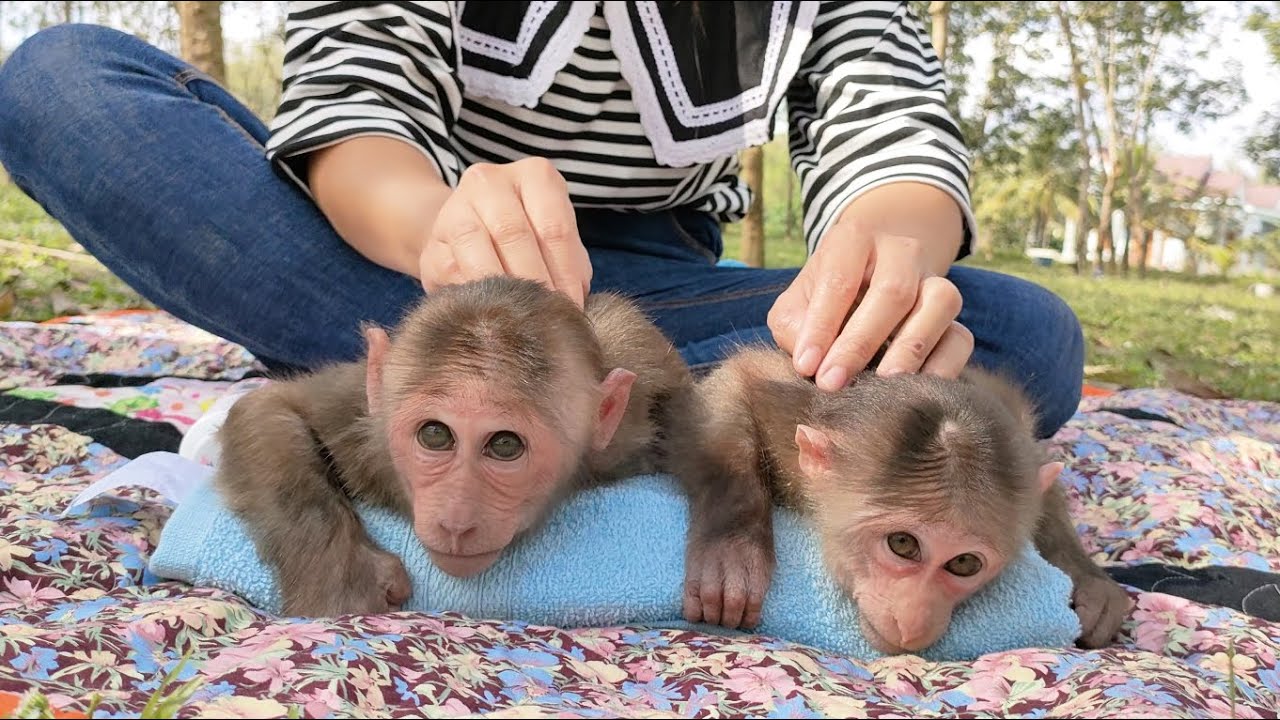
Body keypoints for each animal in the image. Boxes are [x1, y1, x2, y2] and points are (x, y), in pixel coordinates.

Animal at [212, 275, 703, 617]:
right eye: (435, 435)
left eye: (504, 445)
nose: (455, 522)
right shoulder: (368, 428)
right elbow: (268, 406)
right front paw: (340, 577)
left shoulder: (636, 387)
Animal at [679, 345, 1132, 653]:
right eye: (902, 544)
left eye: (964, 563)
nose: (913, 621)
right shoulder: (792, 408)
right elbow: (739, 378)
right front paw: (733, 549)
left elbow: (1040, 468)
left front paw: (1092, 584)